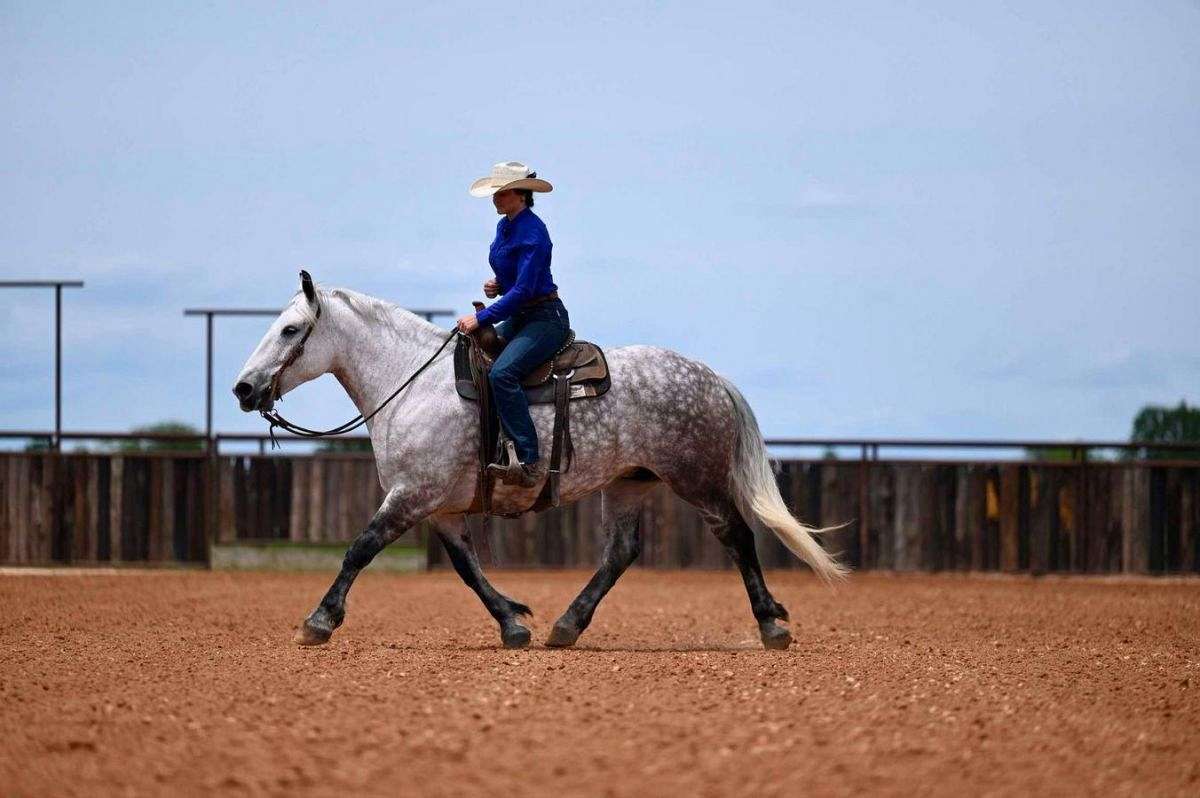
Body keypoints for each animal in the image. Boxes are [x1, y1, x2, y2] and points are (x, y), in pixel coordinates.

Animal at [232, 273, 846, 651]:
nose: (243, 388)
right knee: (621, 551)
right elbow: (467, 568)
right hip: (629, 483)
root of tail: (710, 376)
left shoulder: (411, 496)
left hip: (696, 478)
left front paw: (318, 621)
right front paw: (513, 622)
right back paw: (566, 625)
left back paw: (770, 624)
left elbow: (360, 549)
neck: (413, 383)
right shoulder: (441, 509)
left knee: (736, 535)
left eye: (290, 329)